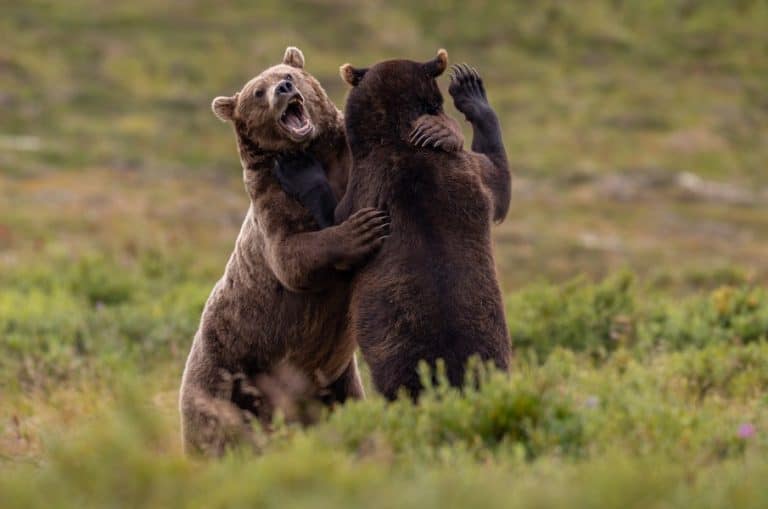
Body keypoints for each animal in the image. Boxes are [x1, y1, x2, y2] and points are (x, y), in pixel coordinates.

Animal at [179, 46, 464, 456]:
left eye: (288, 75)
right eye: (257, 92)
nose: (283, 89)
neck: (317, 153)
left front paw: (439, 130)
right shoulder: (273, 198)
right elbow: (292, 257)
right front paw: (362, 229)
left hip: (336, 386)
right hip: (224, 374)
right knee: (211, 429)